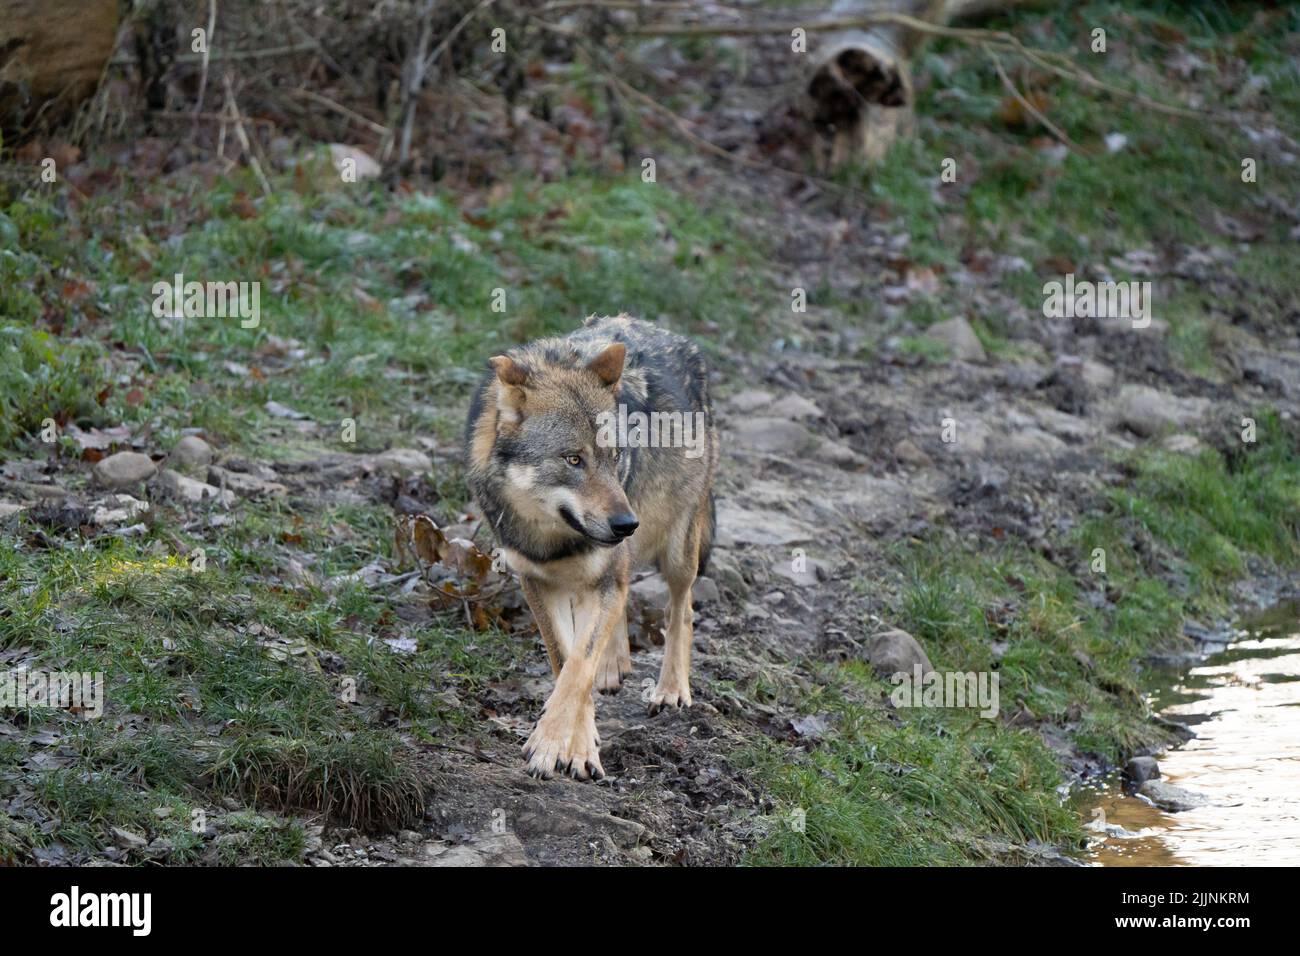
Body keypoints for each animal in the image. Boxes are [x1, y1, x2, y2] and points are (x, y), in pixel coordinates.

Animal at [465, 314, 717, 780]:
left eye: (615, 456)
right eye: (573, 459)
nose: (627, 525)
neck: (552, 539)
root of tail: (664, 329)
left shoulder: (605, 574)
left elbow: (578, 668)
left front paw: (560, 748)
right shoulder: (535, 579)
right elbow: (566, 660)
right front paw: (575, 743)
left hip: (679, 551)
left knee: (681, 609)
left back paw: (671, 689)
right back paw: (614, 664)